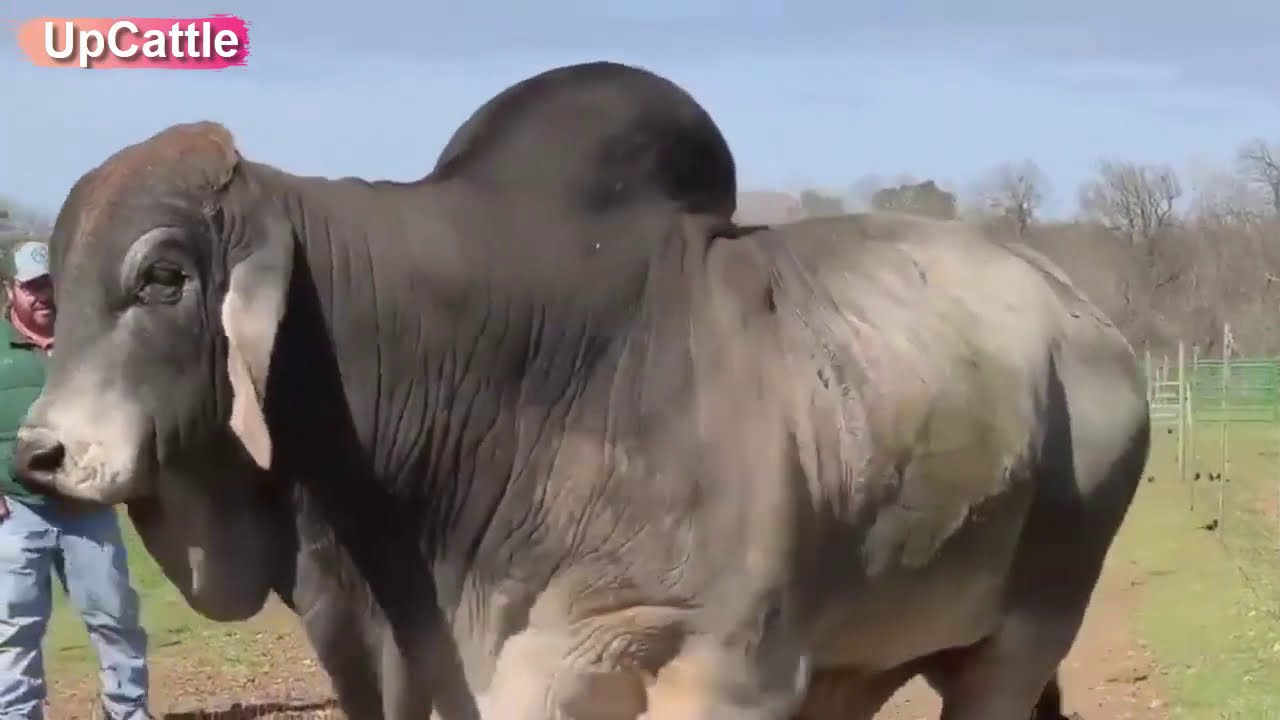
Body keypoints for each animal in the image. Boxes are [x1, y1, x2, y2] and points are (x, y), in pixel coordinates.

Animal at [11, 90, 1146, 720]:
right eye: (53, 294)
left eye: (164, 277)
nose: (40, 457)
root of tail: (1089, 322)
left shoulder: (720, 669)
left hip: (1023, 633)